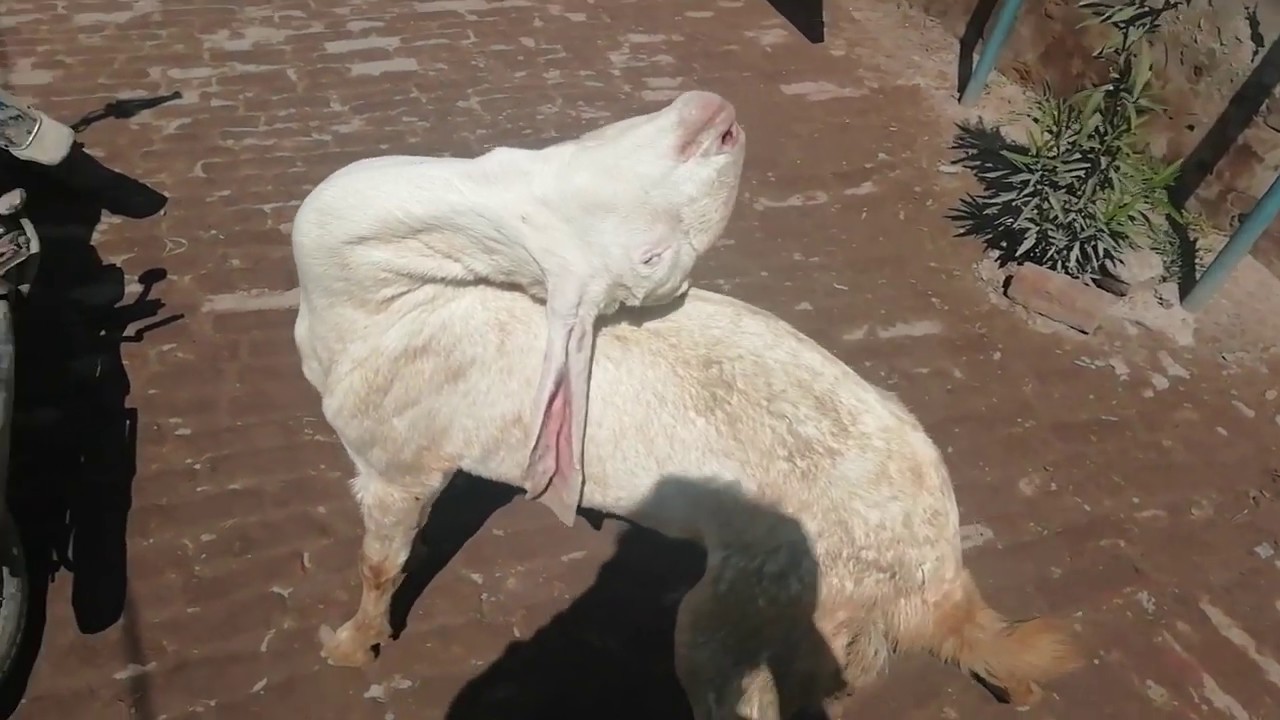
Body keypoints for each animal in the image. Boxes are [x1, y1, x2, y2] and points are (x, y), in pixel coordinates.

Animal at [291, 94, 1080, 718]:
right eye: (655, 261)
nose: (724, 122)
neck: (393, 300)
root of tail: (935, 576)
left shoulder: (393, 457)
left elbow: (378, 564)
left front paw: (350, 645)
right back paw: (1019, 686)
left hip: (749, 609)